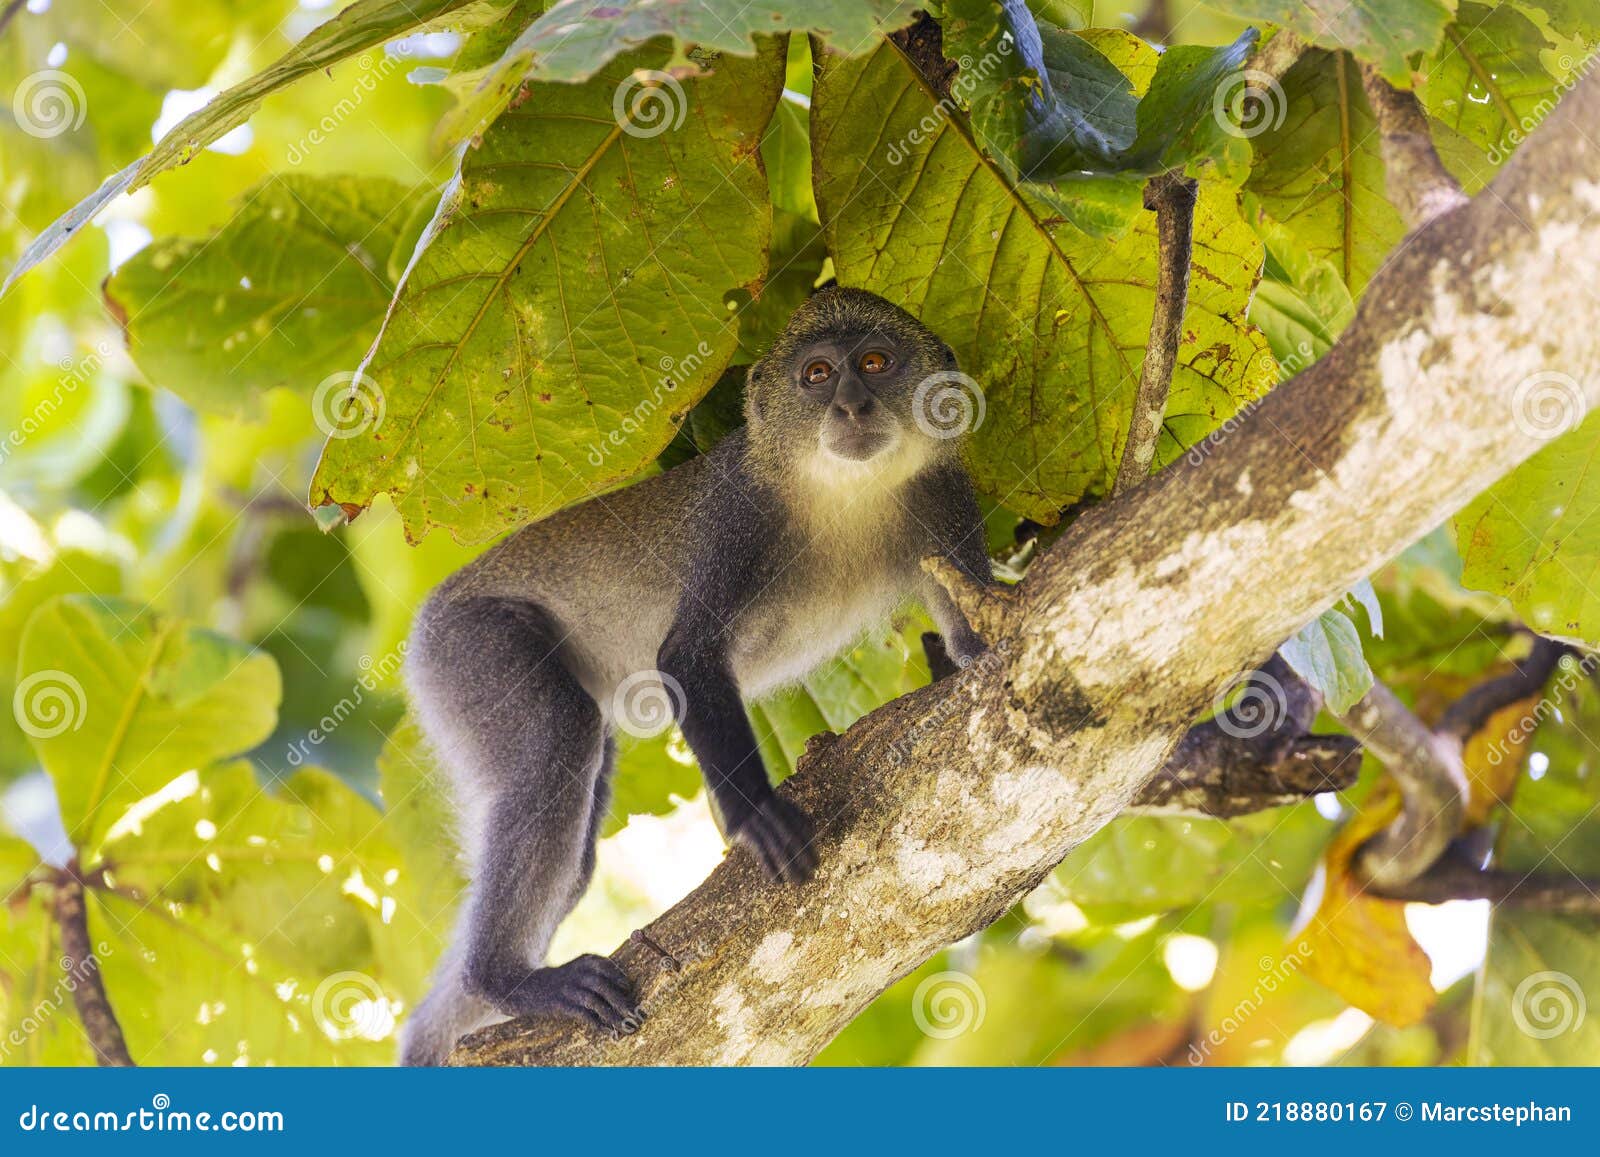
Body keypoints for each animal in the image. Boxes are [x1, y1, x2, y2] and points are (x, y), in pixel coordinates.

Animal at [398, 287, 993, 1065]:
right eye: (817, 375)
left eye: (874, 363)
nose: (852, 405)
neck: (843, 494)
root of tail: (427, 625)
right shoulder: (737, 514)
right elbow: (685, 657)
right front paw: (757, 817)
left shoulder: (946, 496)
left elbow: (973, 635)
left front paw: (969, 654)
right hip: (471, 648)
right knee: (556, 746)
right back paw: (506, 980)